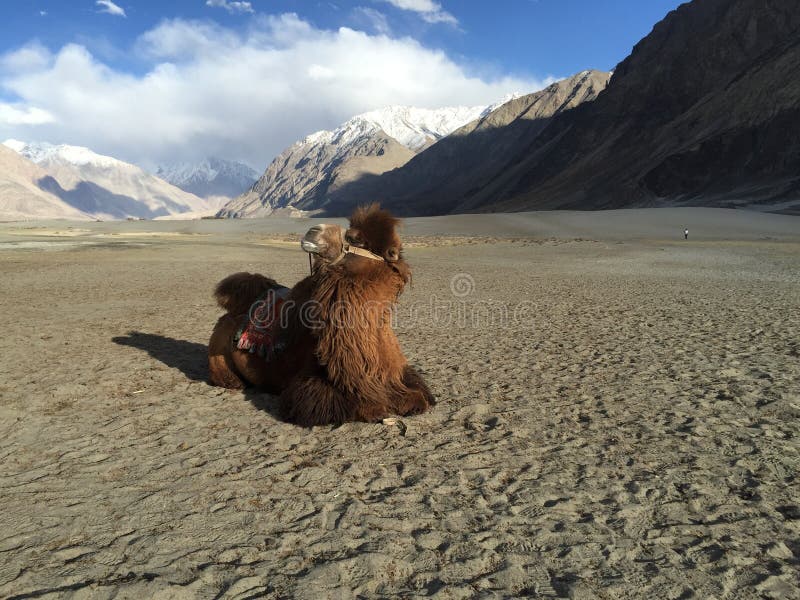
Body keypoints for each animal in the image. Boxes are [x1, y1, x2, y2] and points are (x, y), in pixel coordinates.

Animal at [208, 204, 435, 426]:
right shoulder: (317, 387)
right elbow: (342, 401)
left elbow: (418, 393)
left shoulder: (395, 372)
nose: (314, 230)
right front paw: (378, 409)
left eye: (355, 238)